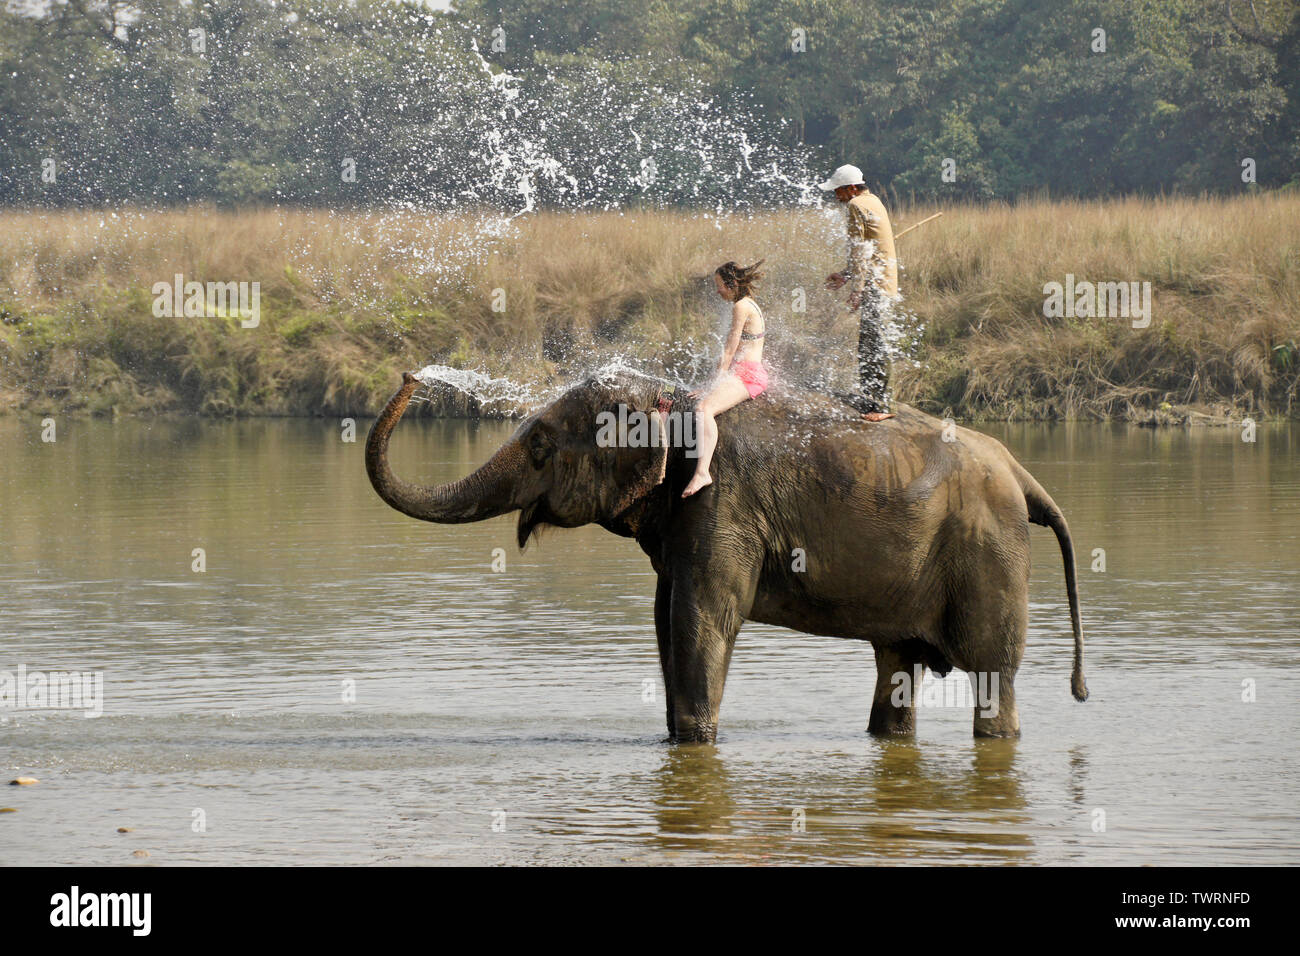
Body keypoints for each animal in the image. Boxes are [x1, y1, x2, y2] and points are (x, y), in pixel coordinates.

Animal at [366, 369, 1088, 743]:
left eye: (541, 446)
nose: (409, 375)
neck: (671, 397)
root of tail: (1023, 475)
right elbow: (665, 621)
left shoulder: (721, 502)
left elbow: (702, 620)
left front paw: (695, 742)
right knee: (897, 669)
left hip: (989, 554)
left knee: (992, 674)